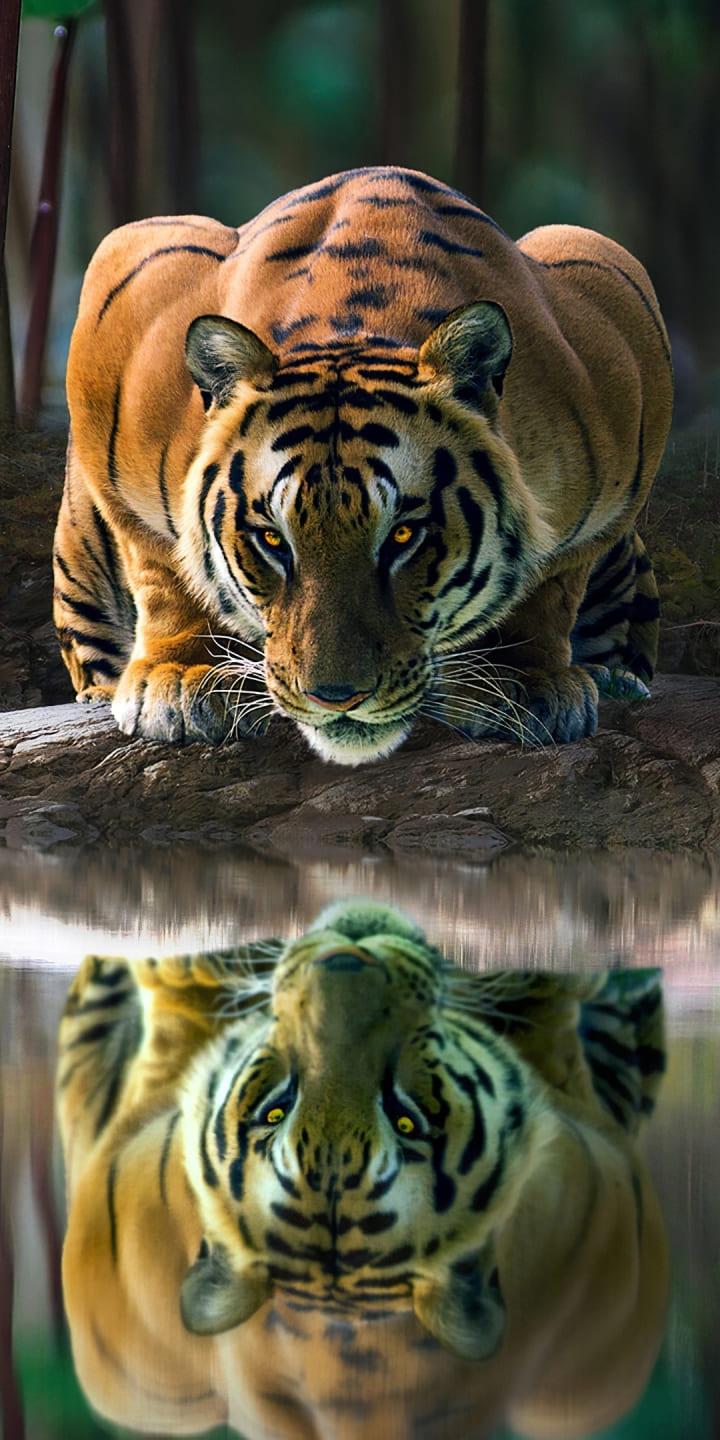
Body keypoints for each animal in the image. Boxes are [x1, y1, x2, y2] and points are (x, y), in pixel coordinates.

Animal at [53, 165, 672, 764]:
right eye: (272, 540)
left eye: (402, 536)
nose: (335, 698)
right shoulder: (128, 281)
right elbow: (162, 565)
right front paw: (185, 677)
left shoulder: (616, 311)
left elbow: (551, 582)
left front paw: (522, 679)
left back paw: (616, 680)